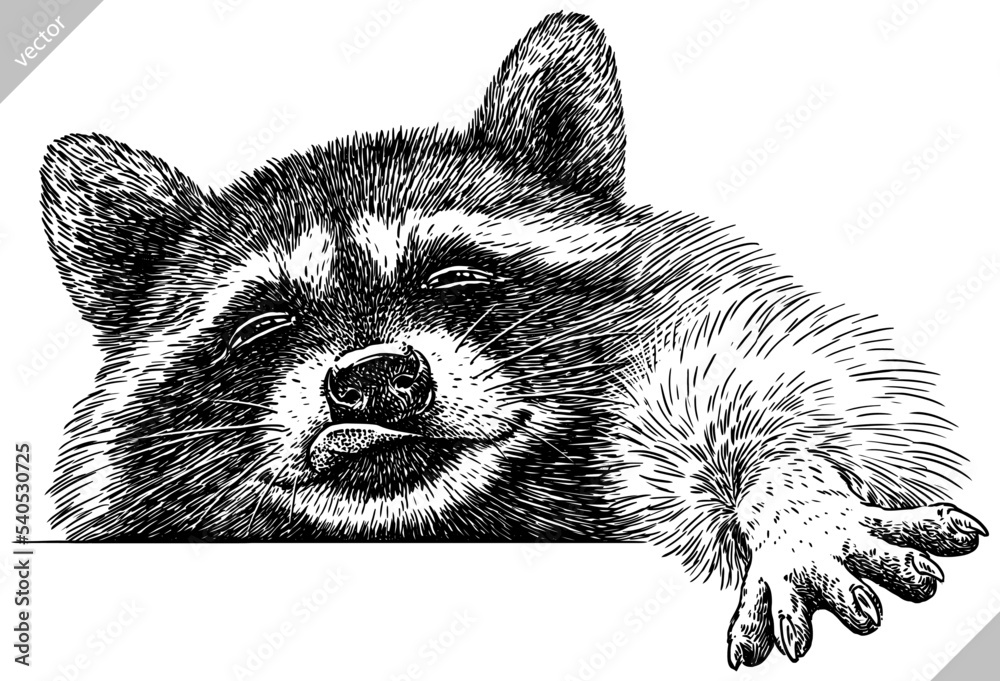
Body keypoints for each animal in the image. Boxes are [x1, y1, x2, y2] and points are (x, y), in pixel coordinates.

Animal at [41, 12, 985, 668]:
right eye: (265, 323)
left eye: (456, 276)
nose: (375, 380)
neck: (430, 525)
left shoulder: (698, 307)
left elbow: (795, 376)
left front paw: (791, 498)